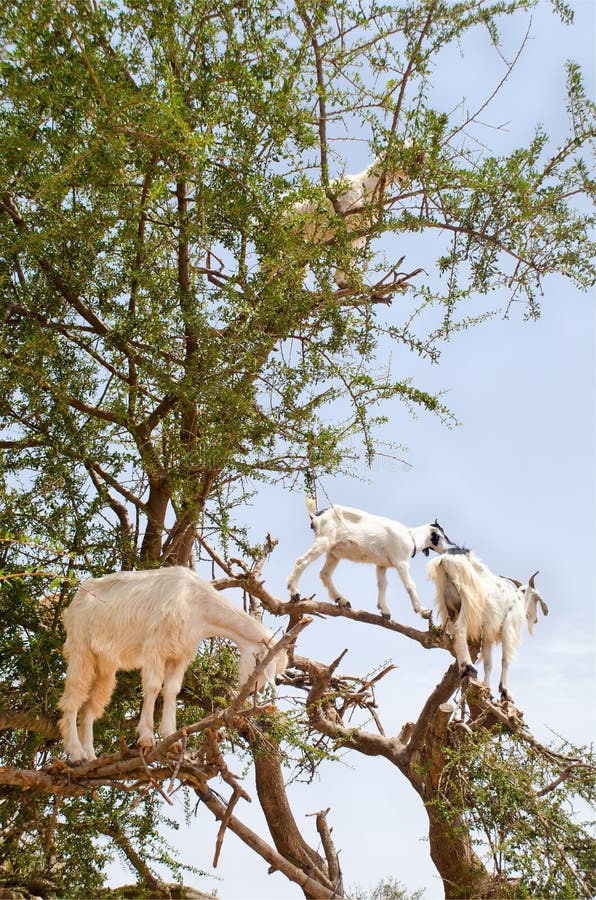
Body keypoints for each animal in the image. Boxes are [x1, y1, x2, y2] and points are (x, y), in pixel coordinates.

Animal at [58, 567, 287, 763]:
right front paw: (147, 739)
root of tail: (73, 604)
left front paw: (172, 738)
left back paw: (90, 756)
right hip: (80, 650)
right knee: (72, 698)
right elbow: (152, 686)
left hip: (105, 663)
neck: (195, 602)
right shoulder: (155, 647)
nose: (254, 691)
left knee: (90, 708)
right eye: (261, 662)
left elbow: (172, 689)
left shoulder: (180, 654)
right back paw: (76, 753)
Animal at [287, 496, 455, 620]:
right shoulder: (401, 562)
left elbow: (382, 584)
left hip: (334, 552)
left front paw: (384, 610)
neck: (411, 536)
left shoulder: (381, 565)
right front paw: (423, 611)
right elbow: (409, 585)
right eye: (440, 536)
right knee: (302, 561)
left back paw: (342, 600)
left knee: (325, 574)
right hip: (324, 541)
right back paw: (294, 591)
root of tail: (317, 516)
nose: (447, 549)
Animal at [427, 549, 549, 701]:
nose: (536, 619)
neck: (518, 600)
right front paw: (505, 691)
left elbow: (488, 664)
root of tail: (445, 560)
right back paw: (468, 667)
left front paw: (487, 690)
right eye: (537, 599)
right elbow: (505, 660)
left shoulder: (487, 633)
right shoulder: (508, 627)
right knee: (459, 629)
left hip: (449, 605)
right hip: (469, 602)